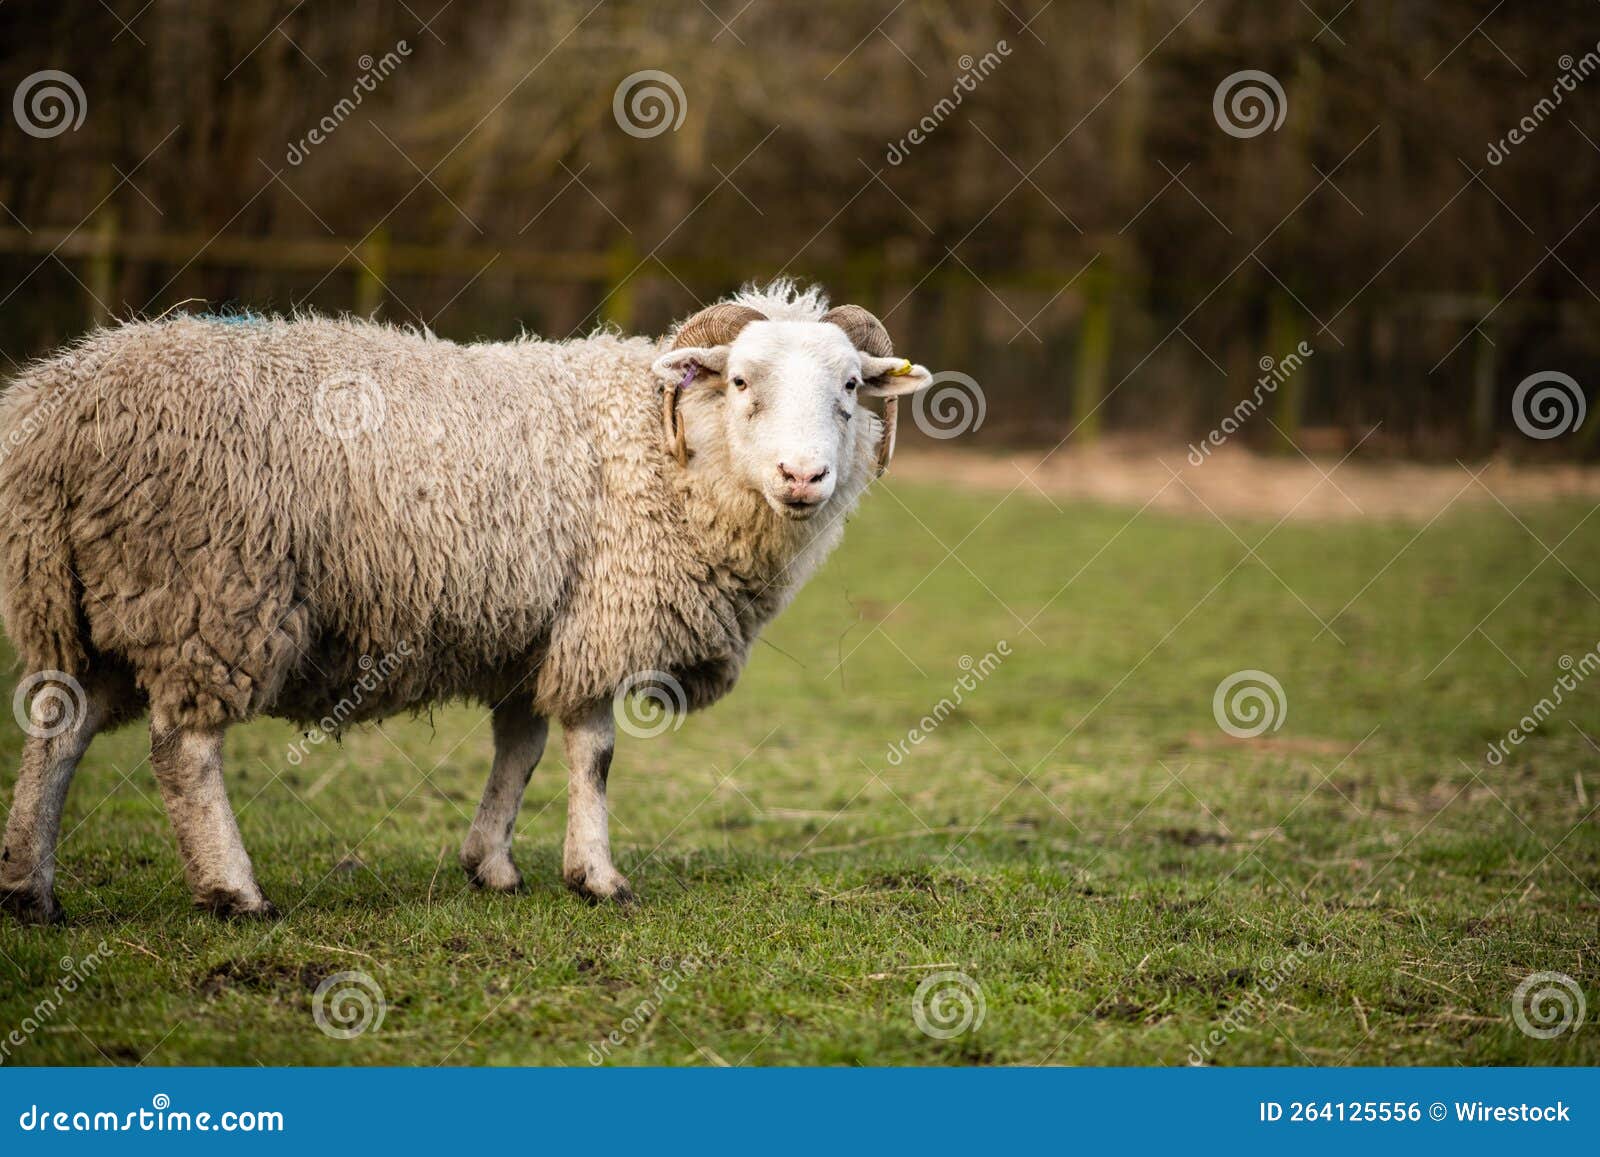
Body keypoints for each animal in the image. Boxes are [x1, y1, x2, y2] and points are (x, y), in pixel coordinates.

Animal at [0, 281, 932, 922]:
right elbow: (592, 754)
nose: (805, 476)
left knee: (57, 725)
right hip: (206, 594)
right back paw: (235, 892)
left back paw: (29, 887)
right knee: (183, 749)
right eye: (739, 380)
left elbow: (519, 750)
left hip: (91, 605)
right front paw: (597, 878)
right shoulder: (600, 621)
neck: (667, 447)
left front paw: (491, 864)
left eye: (852, 387)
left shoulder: (532, 632)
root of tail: (52, 415)